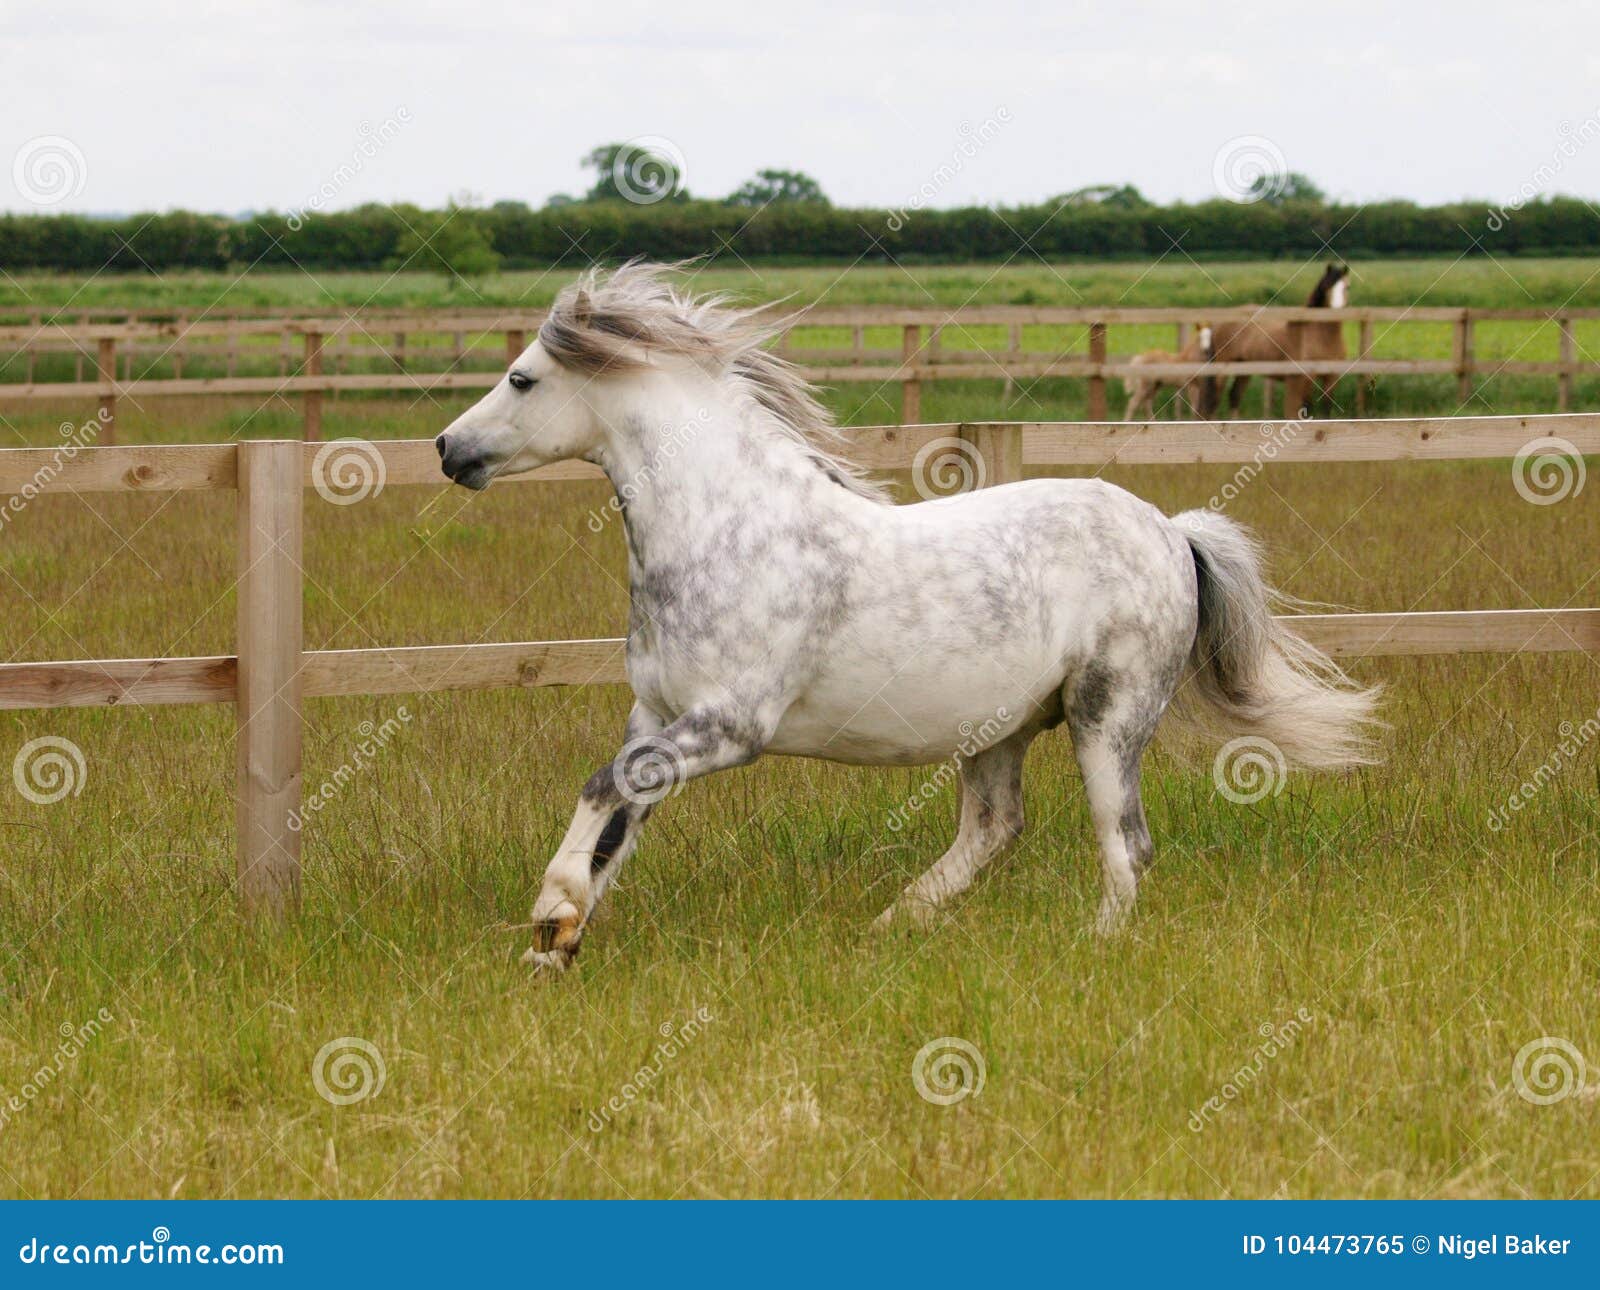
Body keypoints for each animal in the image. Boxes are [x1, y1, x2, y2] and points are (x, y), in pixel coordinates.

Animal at [1207, 264, 1350, 419]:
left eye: (1347, 287)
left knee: (1234, 396)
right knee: (1215, 399)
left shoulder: (1331, 378)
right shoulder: (1303, 380)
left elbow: (1326, 408)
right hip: (1224, 368)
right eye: (1327, 286)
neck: (1319, 337)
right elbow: (1302, 409)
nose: (1337, 311)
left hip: (1243, 367)